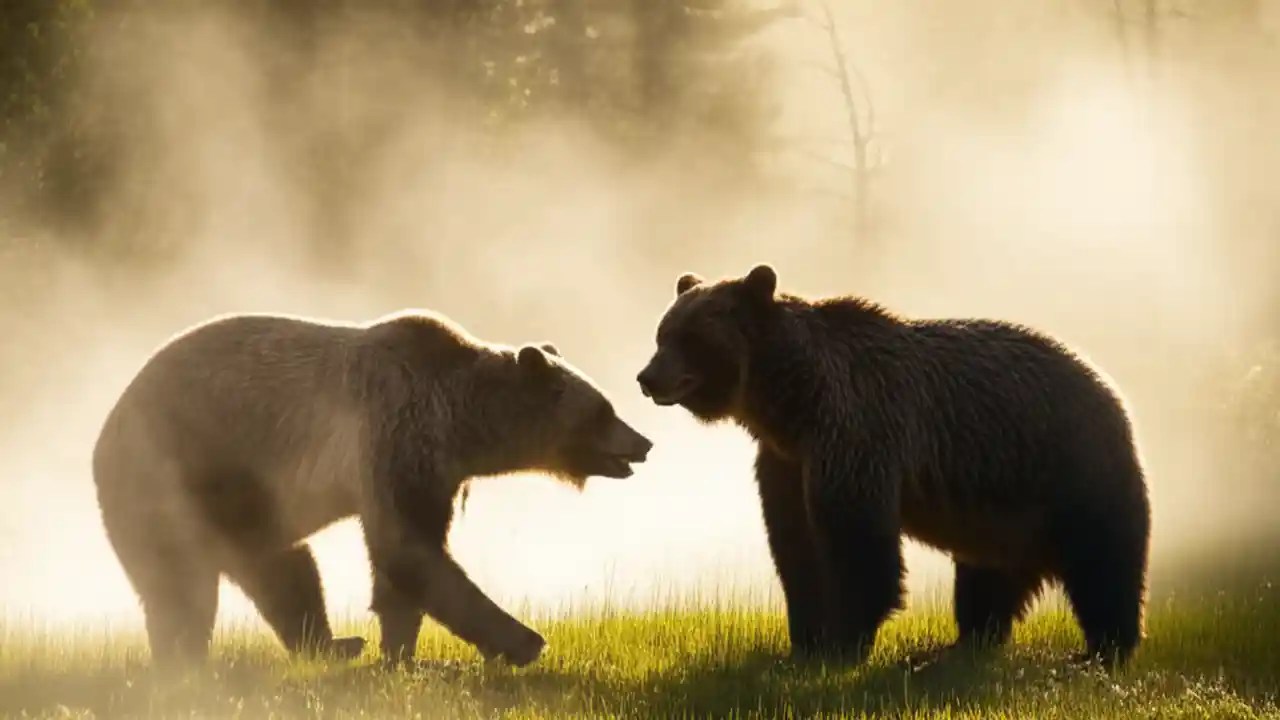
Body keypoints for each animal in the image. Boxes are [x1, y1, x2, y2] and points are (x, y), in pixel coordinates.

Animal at [92, 310, 652, 670]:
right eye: (602, 410)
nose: (642, 442)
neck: (462, 423)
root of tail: (102, 435)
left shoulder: (434, 469)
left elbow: (403, 562)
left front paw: (400, 649)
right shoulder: (398, 433)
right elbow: (408, 550)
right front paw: (524, 640)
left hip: (250, 508)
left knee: (287, 571)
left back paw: (334, 643)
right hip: (173, 476)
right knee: (179, 584)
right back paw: (182, 658)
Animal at [636, 264, 1151, 667]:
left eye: (691, 338)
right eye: (662, 333)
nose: (647, 377)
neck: (790, 402)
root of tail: (1108, 387)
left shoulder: (857, 435)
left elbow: (857, 544)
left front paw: (845, 642)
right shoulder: (786, 462)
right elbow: (795, 546)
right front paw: (804, 641)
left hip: (1069, 469)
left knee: (1103, 561)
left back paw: (1103, 649)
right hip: (1001, 509)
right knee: (986, 577)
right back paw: (965, 642)